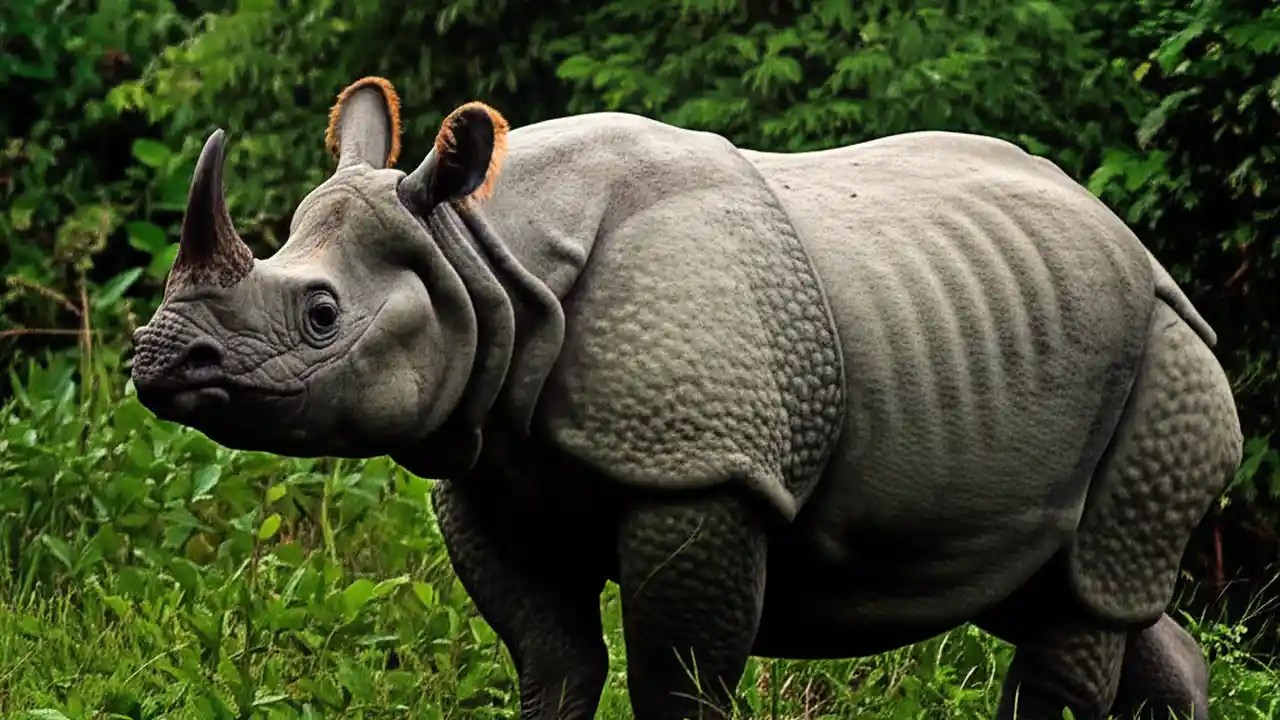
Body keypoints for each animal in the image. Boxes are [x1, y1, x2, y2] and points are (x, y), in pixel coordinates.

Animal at [130, 76, 1242, 720]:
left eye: (321, 314)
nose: (159, 360)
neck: (481, 252)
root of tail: (1141, 249)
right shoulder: (490, 468)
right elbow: (553, 660)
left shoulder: (703, 468)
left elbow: (677, 679)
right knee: (1062, 587)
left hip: (1169, 363)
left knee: (1087, 598)